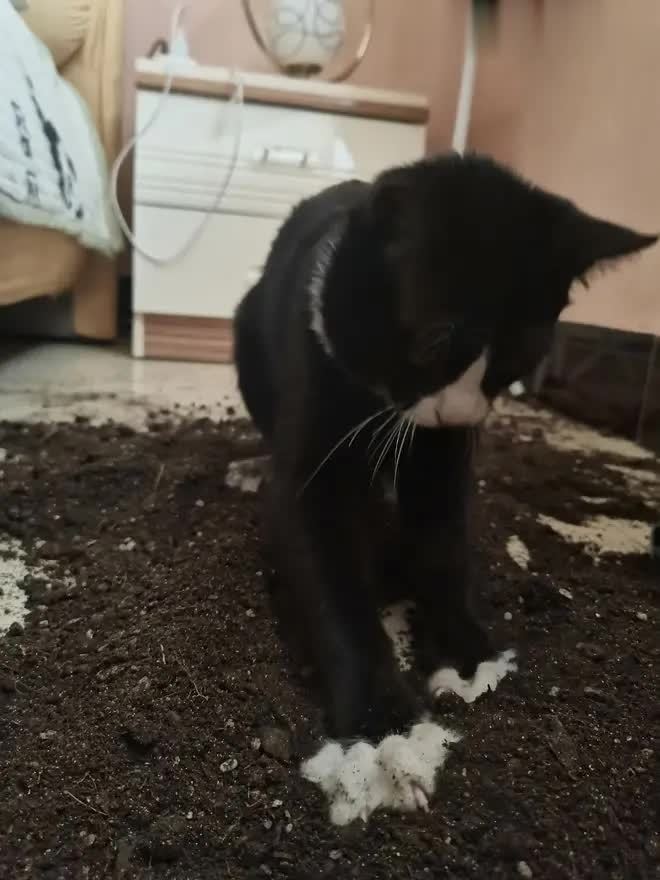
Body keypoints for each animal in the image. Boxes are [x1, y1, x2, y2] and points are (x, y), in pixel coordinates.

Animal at [234, 153, 655, 746]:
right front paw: (377, 711)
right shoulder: (315, 378)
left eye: (522, 355)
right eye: (434, 343)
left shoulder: (444, 456)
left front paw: (467, 650)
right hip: (247, 328)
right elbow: (325, 565)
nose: (457, 413)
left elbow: (443, 538)